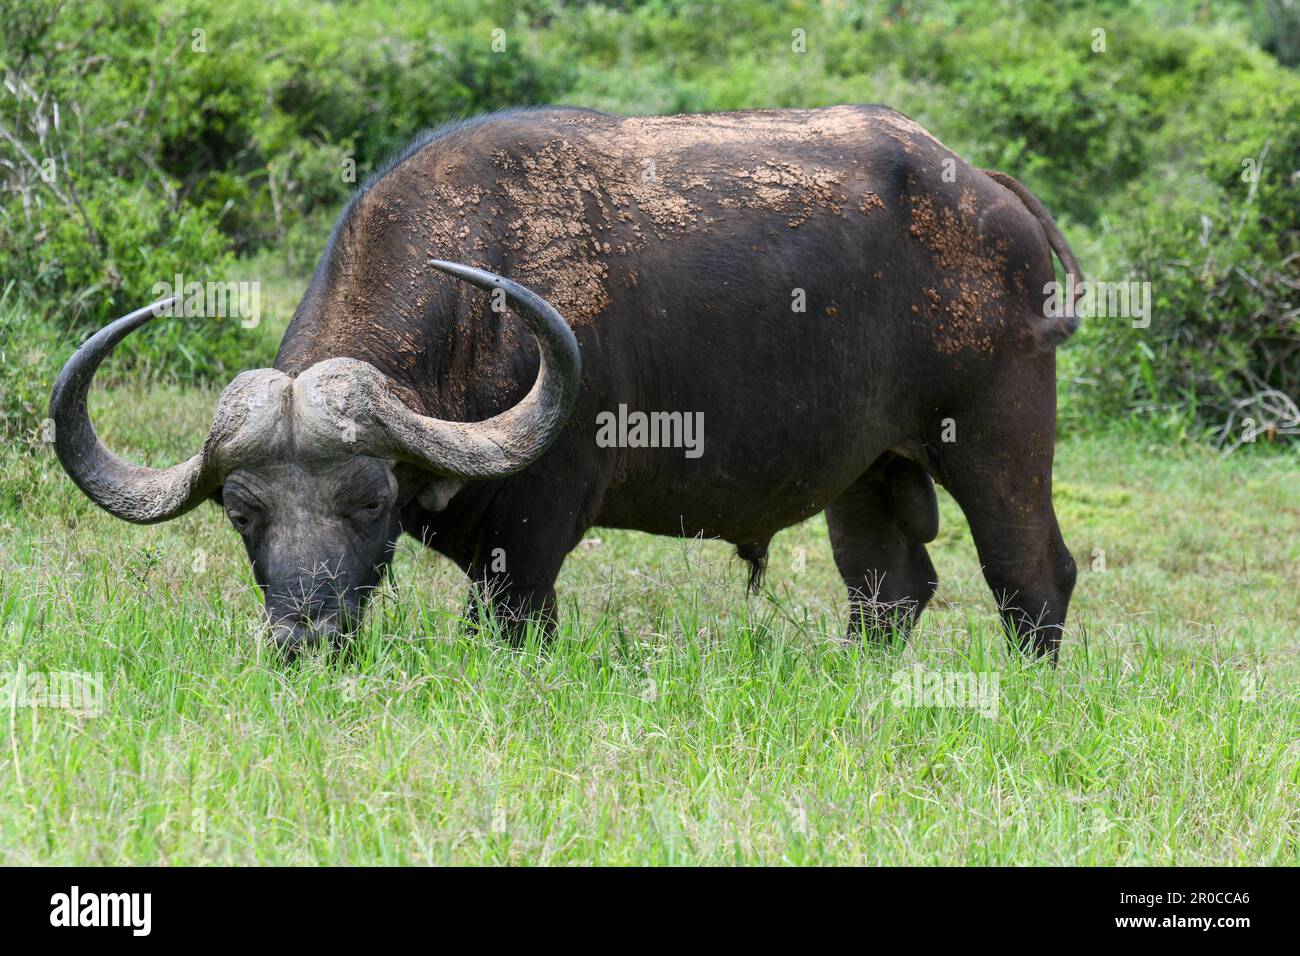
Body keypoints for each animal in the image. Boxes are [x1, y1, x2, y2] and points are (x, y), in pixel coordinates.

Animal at [51, 105, 1081, 657]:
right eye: (241, 512)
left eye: (369, 500)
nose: (305, 638)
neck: (475, 317)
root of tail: (983, 188)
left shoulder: (534, 538)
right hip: (867, 472)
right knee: (888, 588)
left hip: (998, 433)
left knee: (1032, 575)